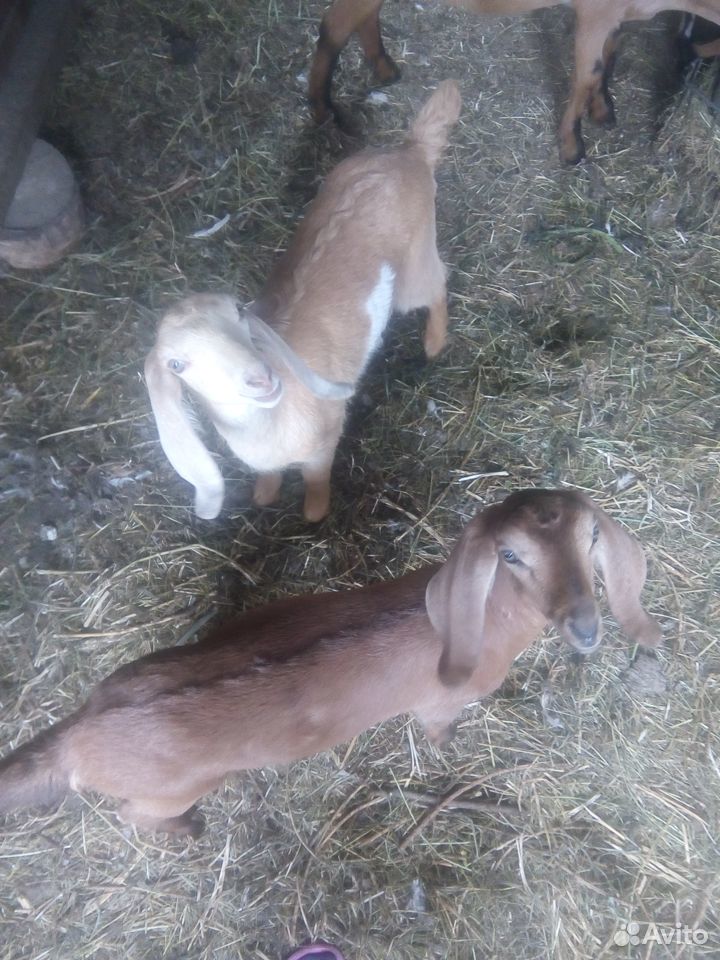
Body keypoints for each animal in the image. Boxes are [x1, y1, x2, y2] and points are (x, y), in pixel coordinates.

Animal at [0, 488, 661, 838]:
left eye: (591, 537)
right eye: (510, 555)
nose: (585, 628)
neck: (485, 620)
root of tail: (78, 736)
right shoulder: (439, 701)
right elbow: (439, 728)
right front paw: (449, 747)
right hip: (173, 789)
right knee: (131, 812)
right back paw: (187, 829)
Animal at [145, 80, 461, 522]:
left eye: (239, 314)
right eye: (176, 364)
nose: (260, 378)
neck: (272, 420)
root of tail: (409, 152)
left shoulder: (323, 442)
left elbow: (315, 480)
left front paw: (315, 512)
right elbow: (269, 477)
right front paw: (264, 494)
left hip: (414, 264)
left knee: (436, 284)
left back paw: (434, 342)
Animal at [309, 0, 720, 164]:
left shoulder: (616, 15)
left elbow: (609, 57)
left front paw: (603, 110)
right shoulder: (595, 13)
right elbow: (587, 73)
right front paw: (571, 147)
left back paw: (385, 69)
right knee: (332, 29)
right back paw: (321, 109)